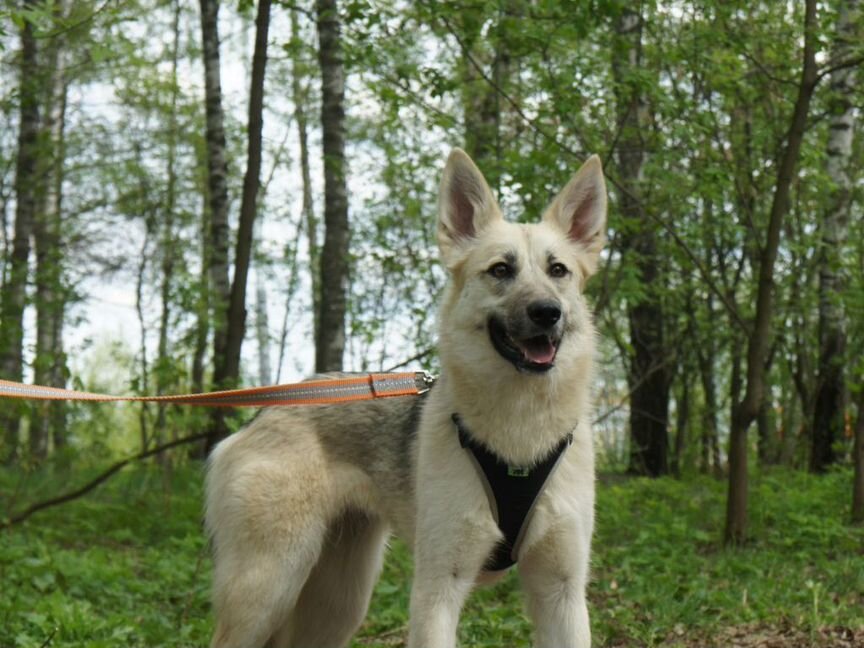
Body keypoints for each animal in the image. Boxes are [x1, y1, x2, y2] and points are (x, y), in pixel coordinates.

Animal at [205, 149, 604, 644]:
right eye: (500, 270)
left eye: (558, 271)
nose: (547, 313)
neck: (520, 434)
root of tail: (260, 418)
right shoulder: (438, 587)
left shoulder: (562, 595)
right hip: (267, 591)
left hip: (337, 605)